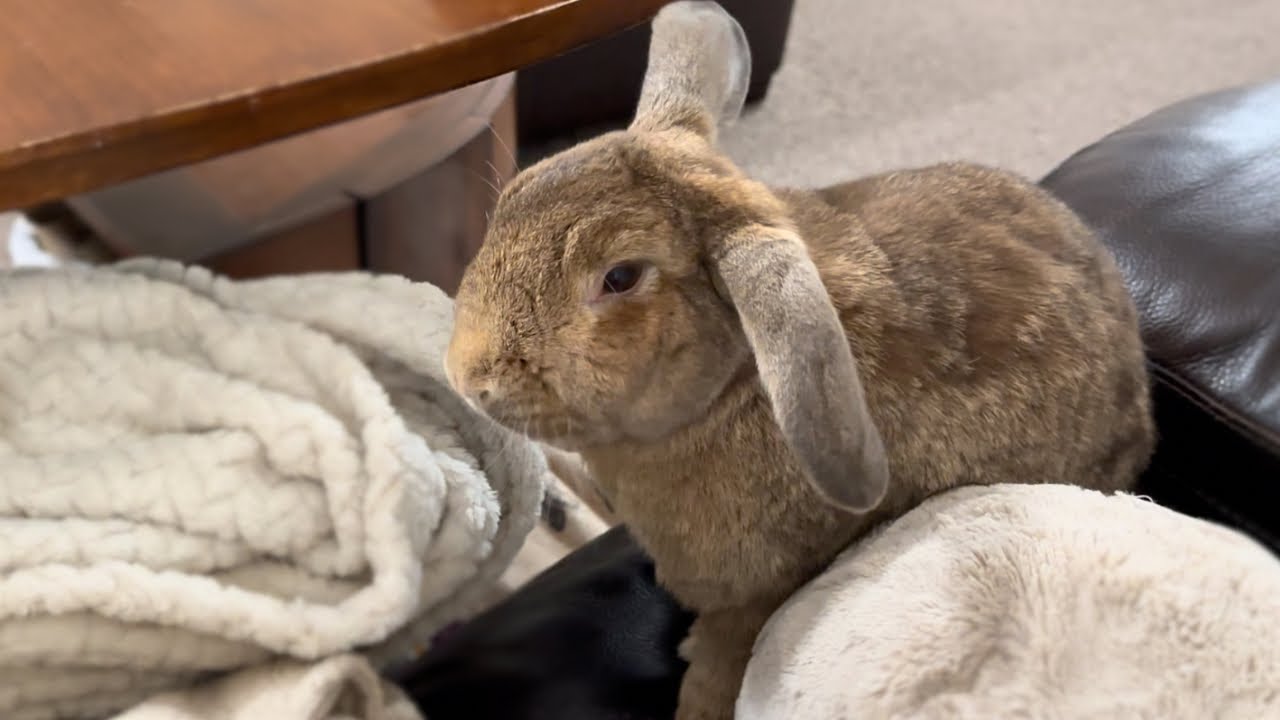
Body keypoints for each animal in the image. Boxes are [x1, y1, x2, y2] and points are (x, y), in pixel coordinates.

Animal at [443, 2, 1155, 717]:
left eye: (620, 278)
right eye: (515, 194)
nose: (468, 375)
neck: (730, 383)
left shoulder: (751, 599)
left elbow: (720, 662)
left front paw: (696, 698)